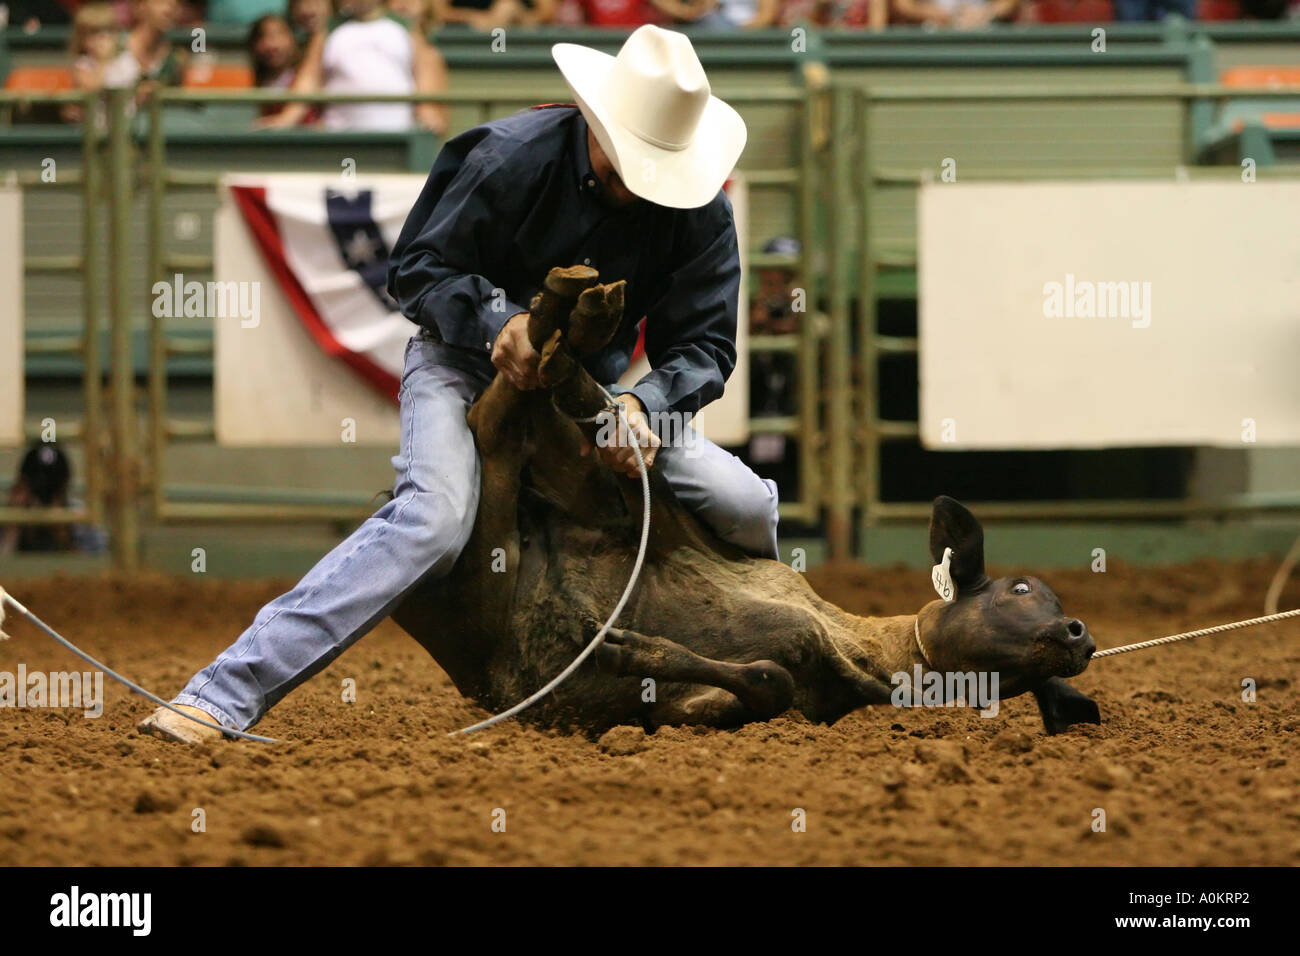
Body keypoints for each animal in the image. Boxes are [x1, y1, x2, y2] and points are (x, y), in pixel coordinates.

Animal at [388, 265, 1101, 737]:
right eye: (1019, 588)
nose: (1081, 633)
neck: (860, 648)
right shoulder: (658, 525)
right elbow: (629, 463)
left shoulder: (703, 708)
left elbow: (766, 682)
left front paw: (623, 647)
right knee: (515, 388)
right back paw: (568, 316)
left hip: (483, 556)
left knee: (496, 411)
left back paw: (568, 315)